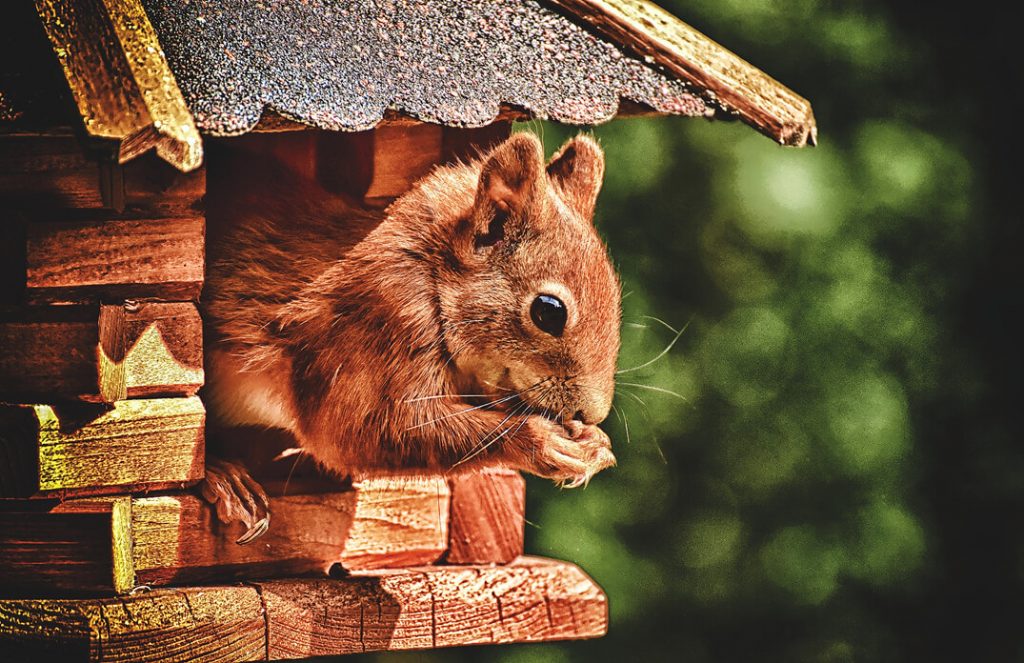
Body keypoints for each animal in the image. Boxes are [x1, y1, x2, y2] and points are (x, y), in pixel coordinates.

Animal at [201, 132, 620, 542]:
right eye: (549, 311)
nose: (591, 412)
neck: (430, 270)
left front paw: (595, 443)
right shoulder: (375, 322)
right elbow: (363, 430)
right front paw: (543, 441)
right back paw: (224, 477)